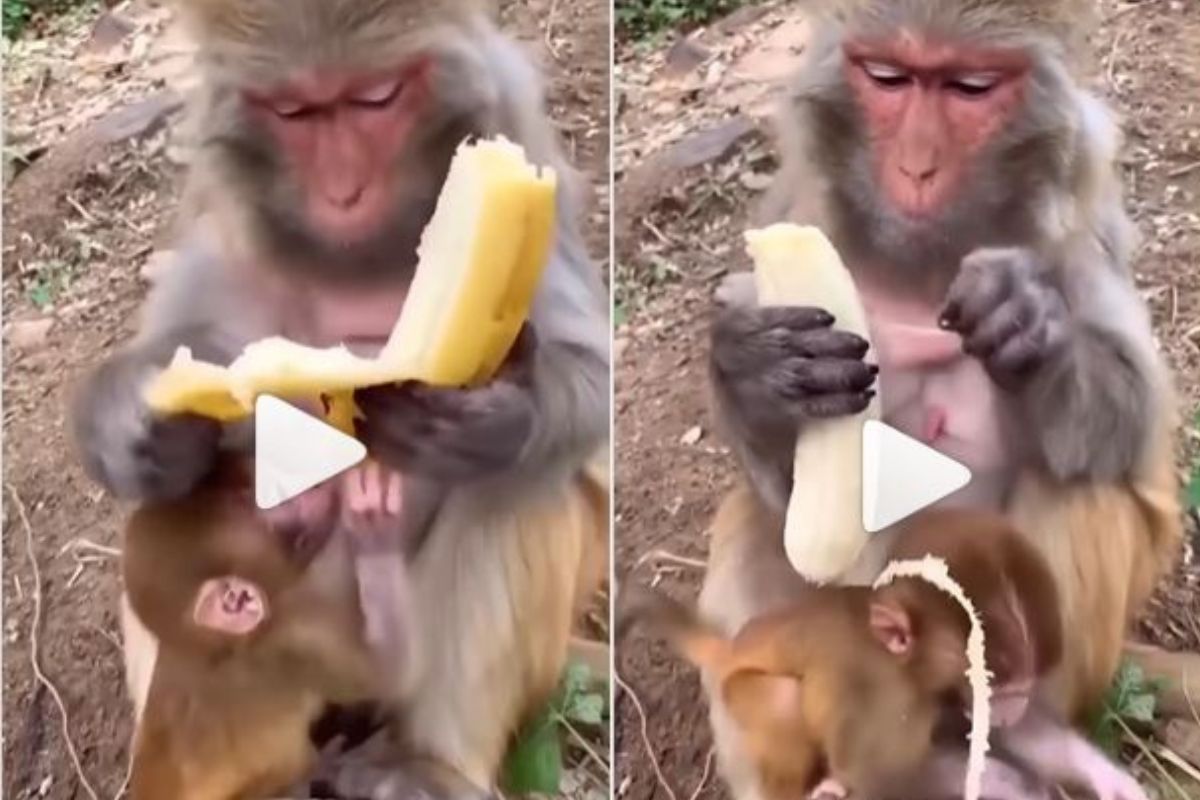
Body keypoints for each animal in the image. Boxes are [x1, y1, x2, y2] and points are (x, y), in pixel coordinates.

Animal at [69, 2, 610, 796]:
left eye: (375, 99)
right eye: (293, 112)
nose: (343, 191)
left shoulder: (517, 136)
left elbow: (591, 374)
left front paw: (492, 423)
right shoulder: (223, 202)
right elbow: (179, 349)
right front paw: (141, 429)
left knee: (514, 493)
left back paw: (430, 763)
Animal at [706, 0, 1181, 732]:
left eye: (969, 88)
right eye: (888, 77)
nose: (917, 168)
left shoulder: (1083, 210)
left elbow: (1139, 425)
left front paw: (1026, 317)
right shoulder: (798, 207)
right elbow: (787, 494)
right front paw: (752, 371)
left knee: (1078, 487)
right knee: (750, 537)